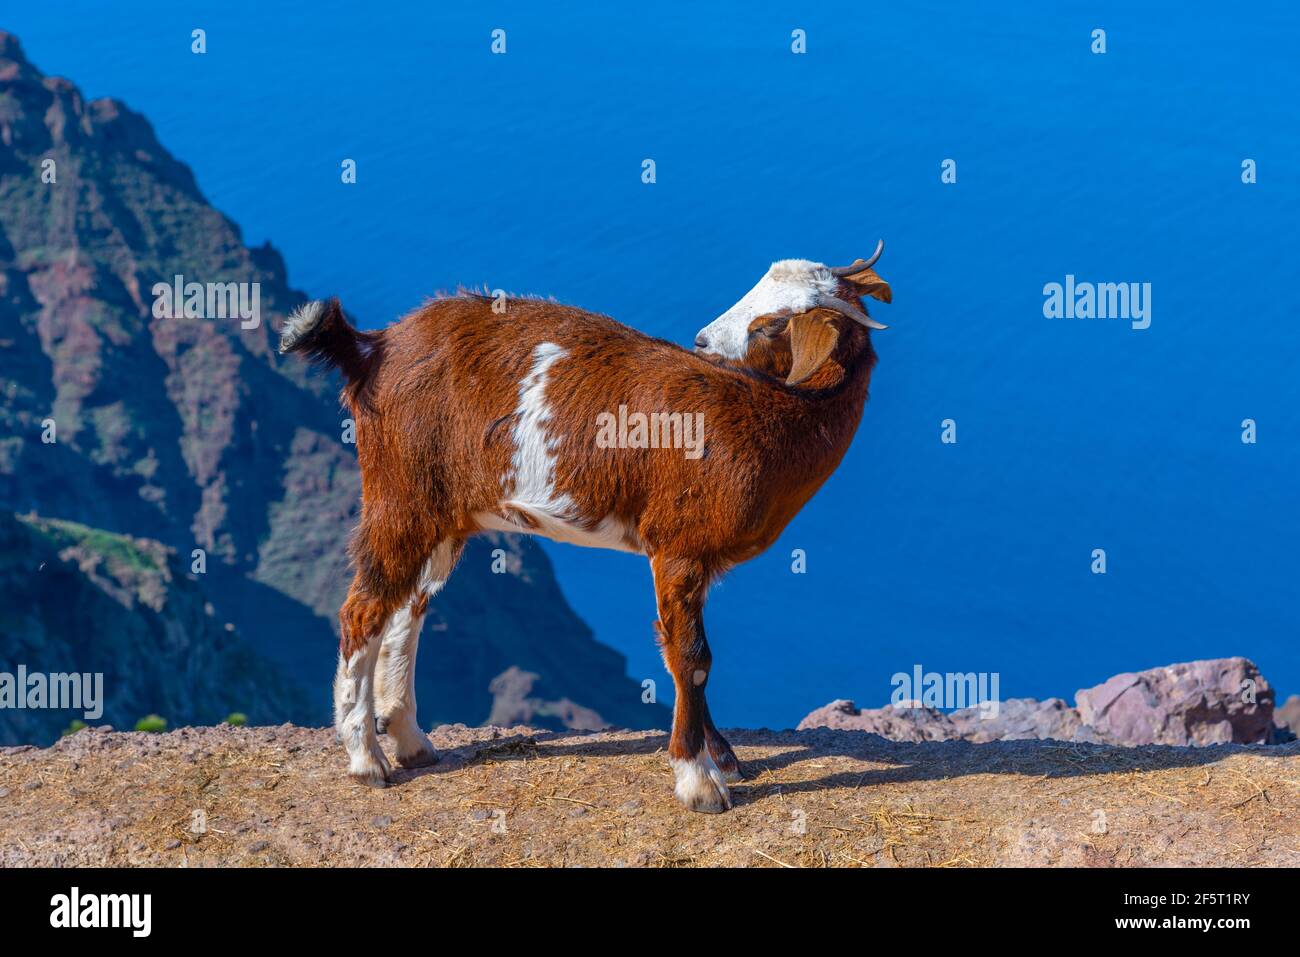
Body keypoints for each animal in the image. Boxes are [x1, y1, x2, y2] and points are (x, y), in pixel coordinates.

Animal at [279, 243, 892, 812]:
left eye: (770, 323)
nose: (701, 341)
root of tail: (372, 347)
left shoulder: (686, 557)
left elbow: (680, 652)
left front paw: (720, 758)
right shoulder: (677, 546)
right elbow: (692, 657)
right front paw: (698, 781)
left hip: (442, 511)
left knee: (408, 609)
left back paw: (411, 742)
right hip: (399, 492)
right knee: (364, 611)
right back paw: (367, 760)